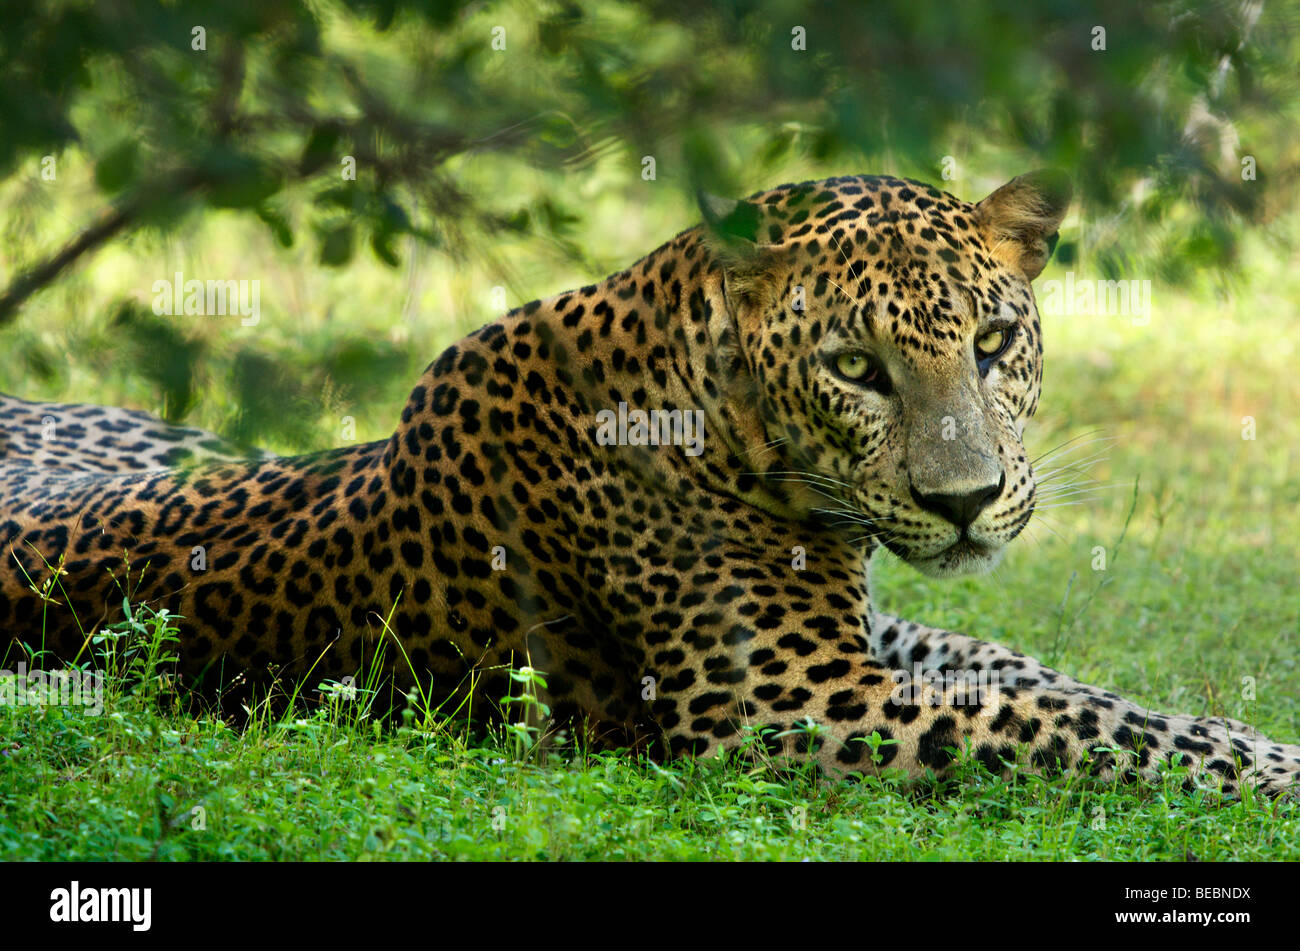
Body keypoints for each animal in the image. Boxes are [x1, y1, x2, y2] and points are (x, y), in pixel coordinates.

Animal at [3, 171, 1297, 797]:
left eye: (993, 343)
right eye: (854, 368)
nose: (965, 502)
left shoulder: (875, 638)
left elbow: (1062, 687)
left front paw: (1249, 729)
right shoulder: (792, 700)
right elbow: (1064, 727)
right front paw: (1274, 774)